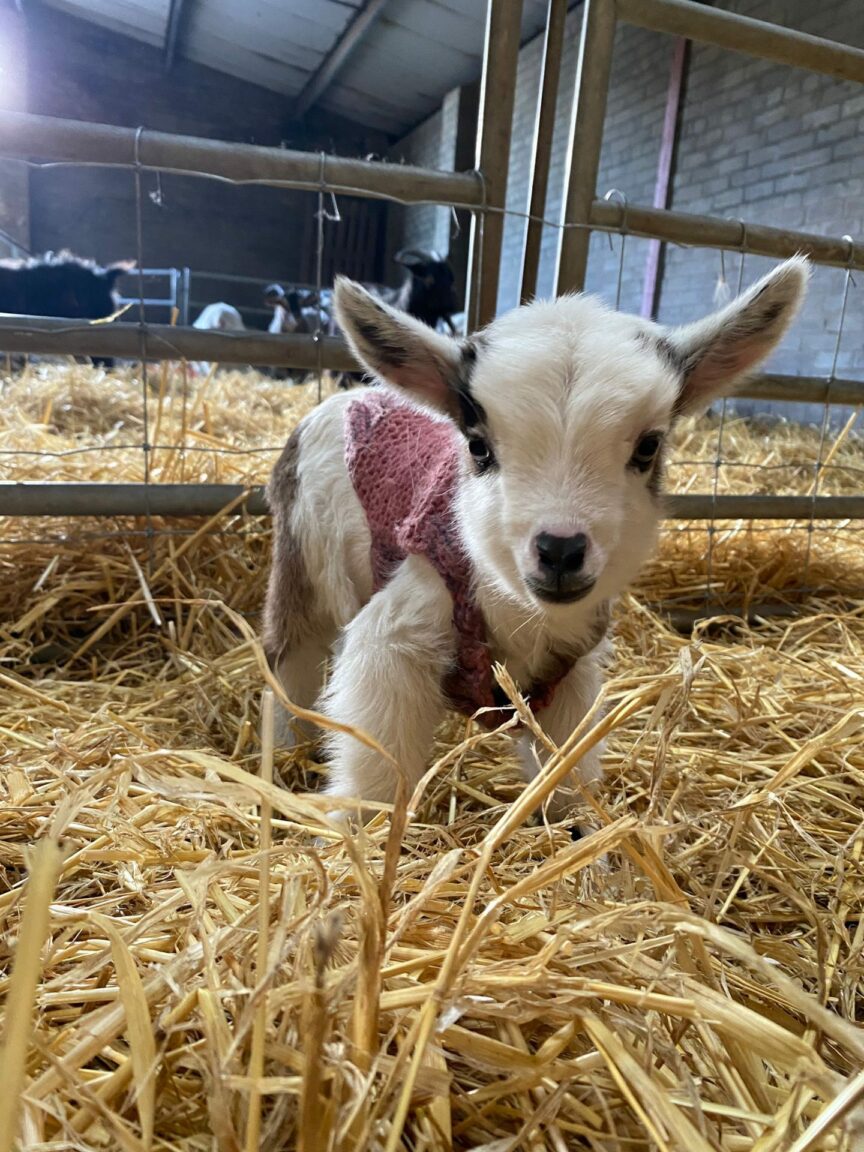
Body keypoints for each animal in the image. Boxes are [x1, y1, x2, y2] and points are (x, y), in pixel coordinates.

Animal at [263, 258, 808, 821]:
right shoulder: (396, 636)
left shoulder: (570, 669)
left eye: (649, 446)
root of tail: (355, 392)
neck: (522, 610)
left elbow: (565, 768)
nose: (560, 550)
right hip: (301, 552)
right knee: (292, 652)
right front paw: (359, 828)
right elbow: (377, 760)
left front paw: (576, 828)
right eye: (478, 447)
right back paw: (285, 746)